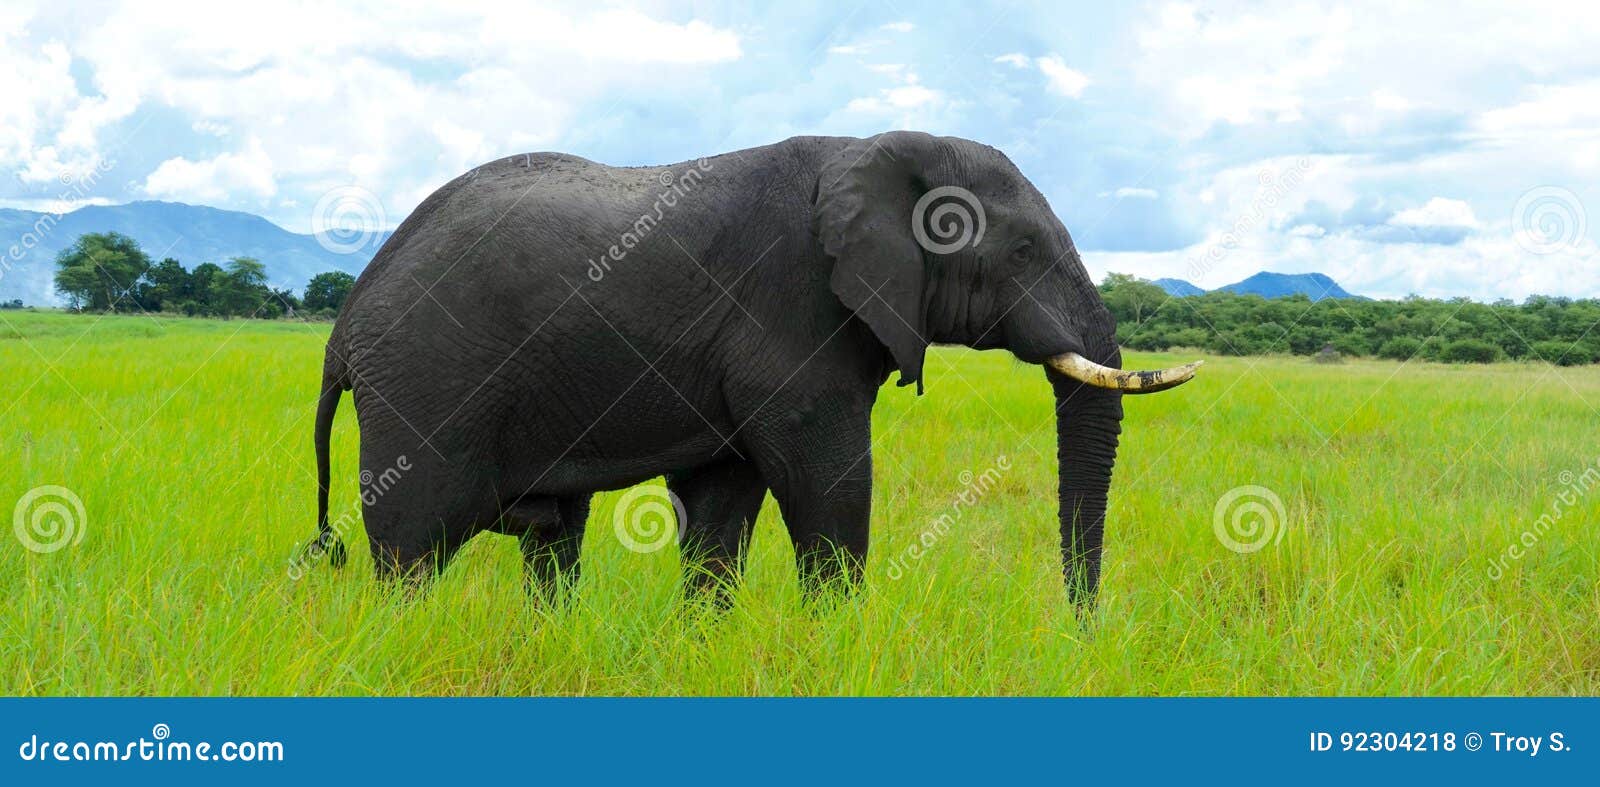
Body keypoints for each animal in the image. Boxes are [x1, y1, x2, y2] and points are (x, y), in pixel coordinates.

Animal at [308, 130, 1198, 607]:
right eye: (1022, 251)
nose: (1083, 628)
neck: (875, 148)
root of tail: (343, 329)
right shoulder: (792, 309)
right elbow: (828, 480)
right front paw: (837, 638)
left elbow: (722, 503)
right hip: (426, 379)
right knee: (413, 543)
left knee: (553, 539)